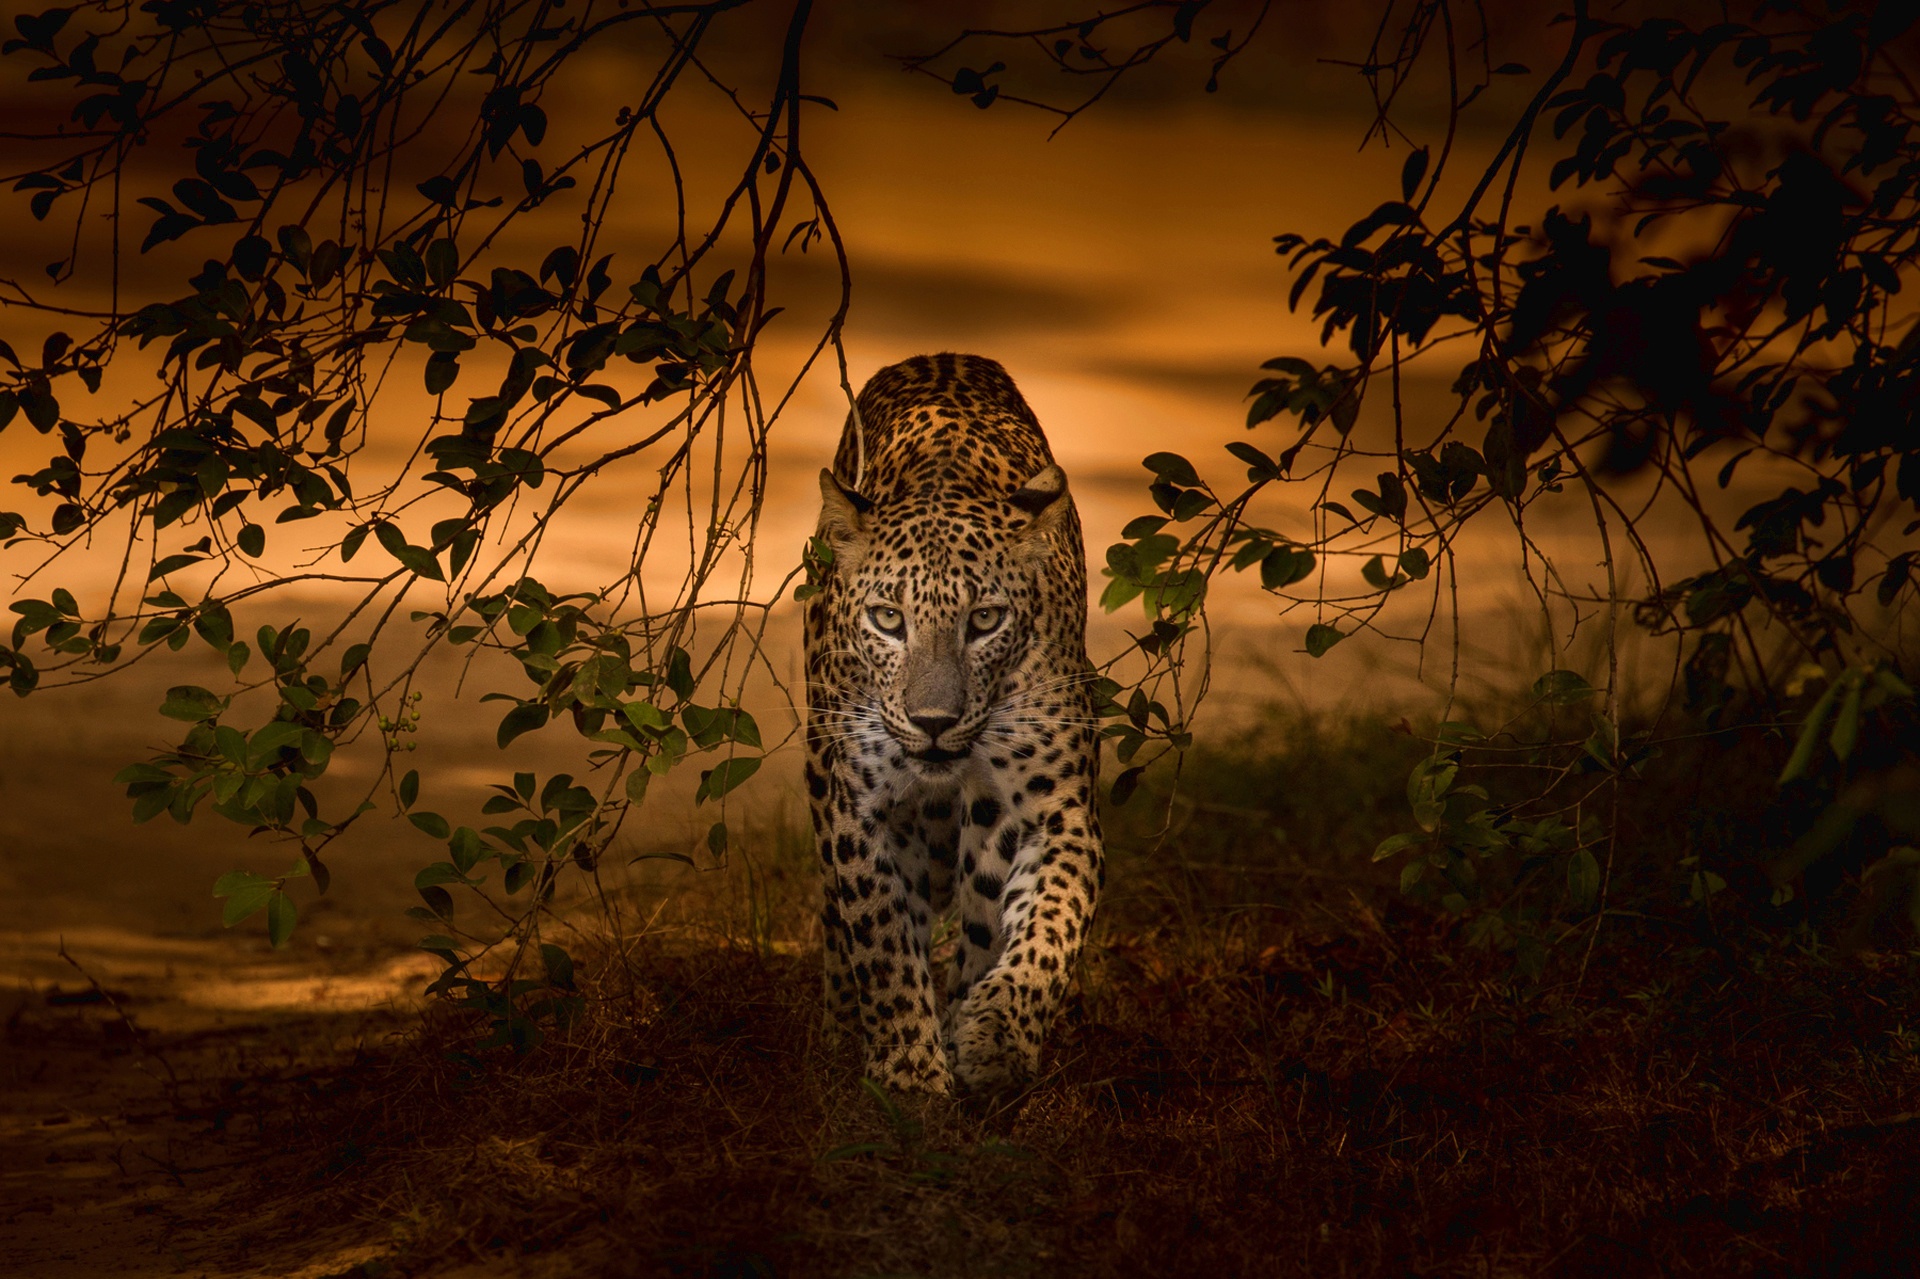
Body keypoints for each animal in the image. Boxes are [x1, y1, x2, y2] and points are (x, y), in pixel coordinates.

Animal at [803, 352, 1105, 1097]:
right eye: (888, 618)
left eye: (985, 620)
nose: (933, 721)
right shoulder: (858, 809)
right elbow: (881, 938)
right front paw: (909, 1073)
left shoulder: (1052, 811)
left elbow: (1048, 928)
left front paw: (994, 1038)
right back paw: (840, 1028)